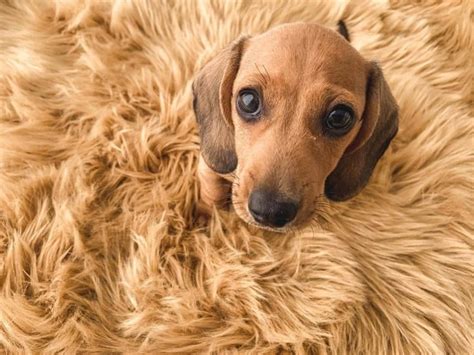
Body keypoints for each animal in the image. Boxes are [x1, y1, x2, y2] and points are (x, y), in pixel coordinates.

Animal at [192, 23, 396, 234]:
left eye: (339, 117)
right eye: (249, 101)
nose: (270, 211)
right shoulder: (209, 168)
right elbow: (211, 191)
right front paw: (207, 218)